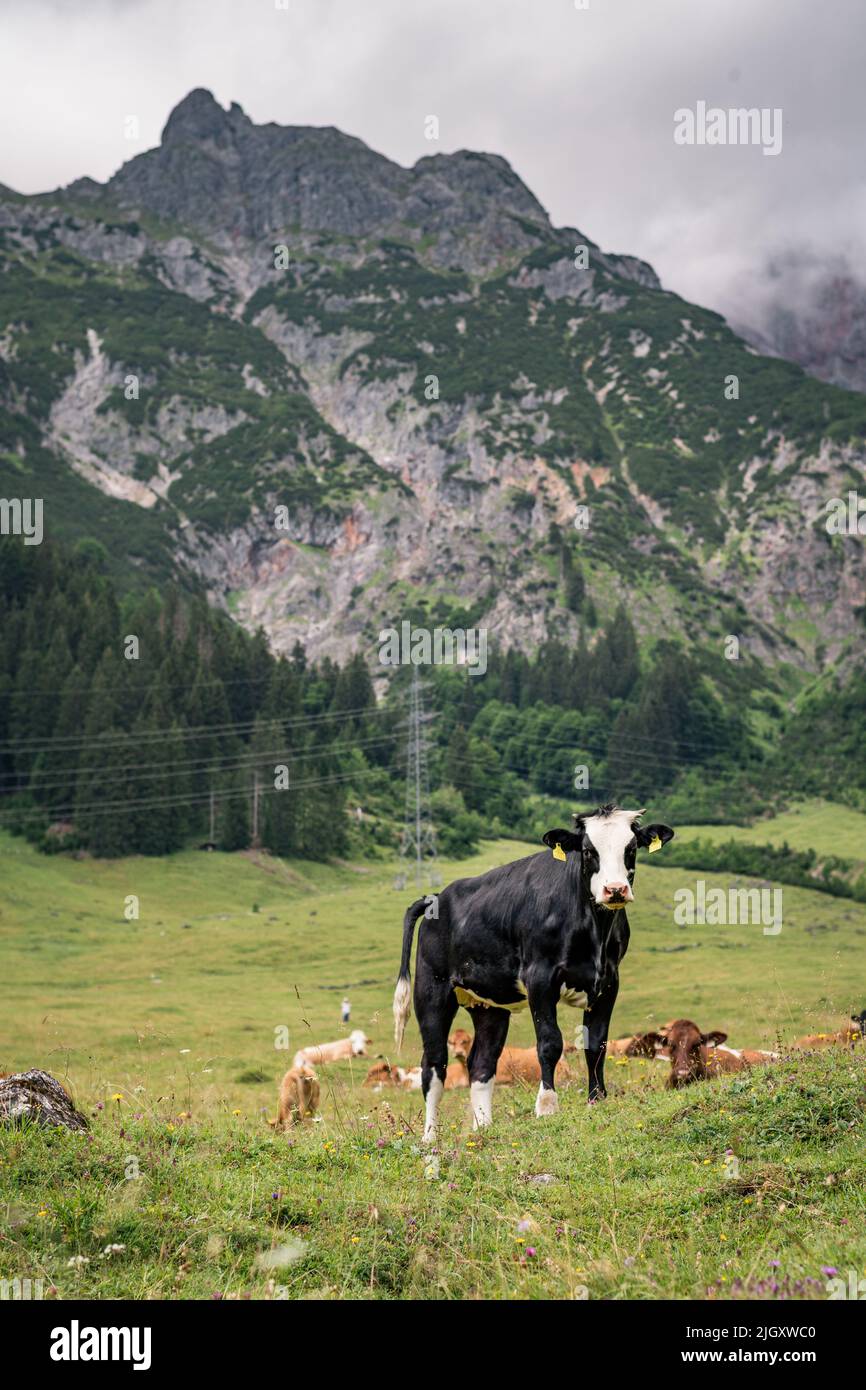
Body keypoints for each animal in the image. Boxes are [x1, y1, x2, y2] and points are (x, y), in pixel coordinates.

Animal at [392, 803, 674, 1139]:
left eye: (630, 849)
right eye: (588, 851)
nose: (615, 890)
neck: (594, 931)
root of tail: (436, 897)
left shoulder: (608, 982)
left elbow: (596, 1043)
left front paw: (597, 1100)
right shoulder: (540, 978)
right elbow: (550, 1043)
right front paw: (547, 1106)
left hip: (489, 1005)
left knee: (481, 1064)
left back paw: (483, 1128)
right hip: (432, 990)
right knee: (434, 1065)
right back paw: (430, 1137)